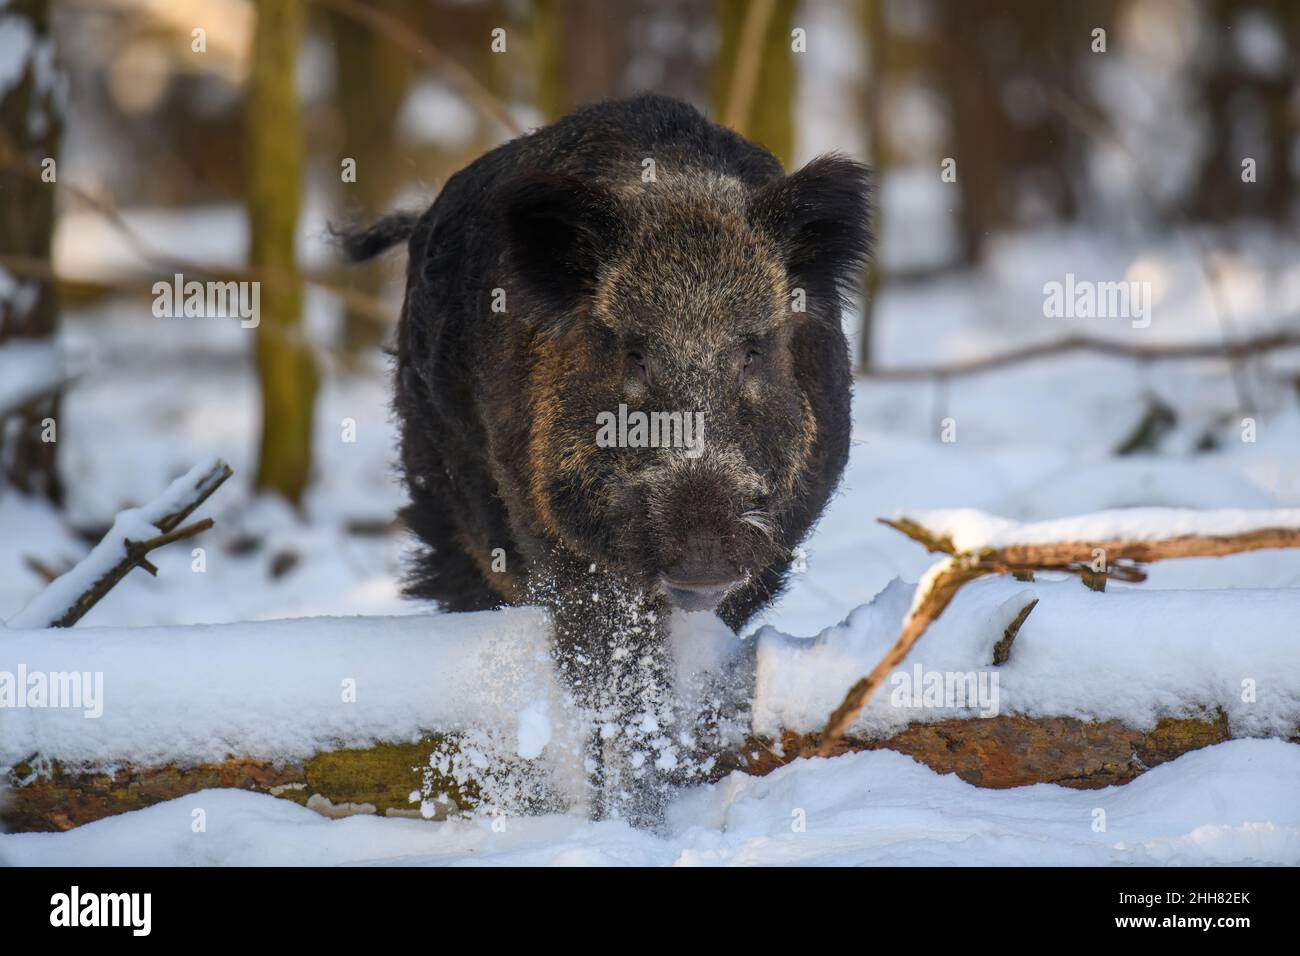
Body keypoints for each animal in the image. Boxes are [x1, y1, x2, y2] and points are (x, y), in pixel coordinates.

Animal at [343, 93, 871, 825]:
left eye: (752, 349)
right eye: (635, 353)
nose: (703, 555)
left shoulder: (771, 547)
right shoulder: (559, 546)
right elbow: (608, 683)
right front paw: (616, 822)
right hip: (448, 499)